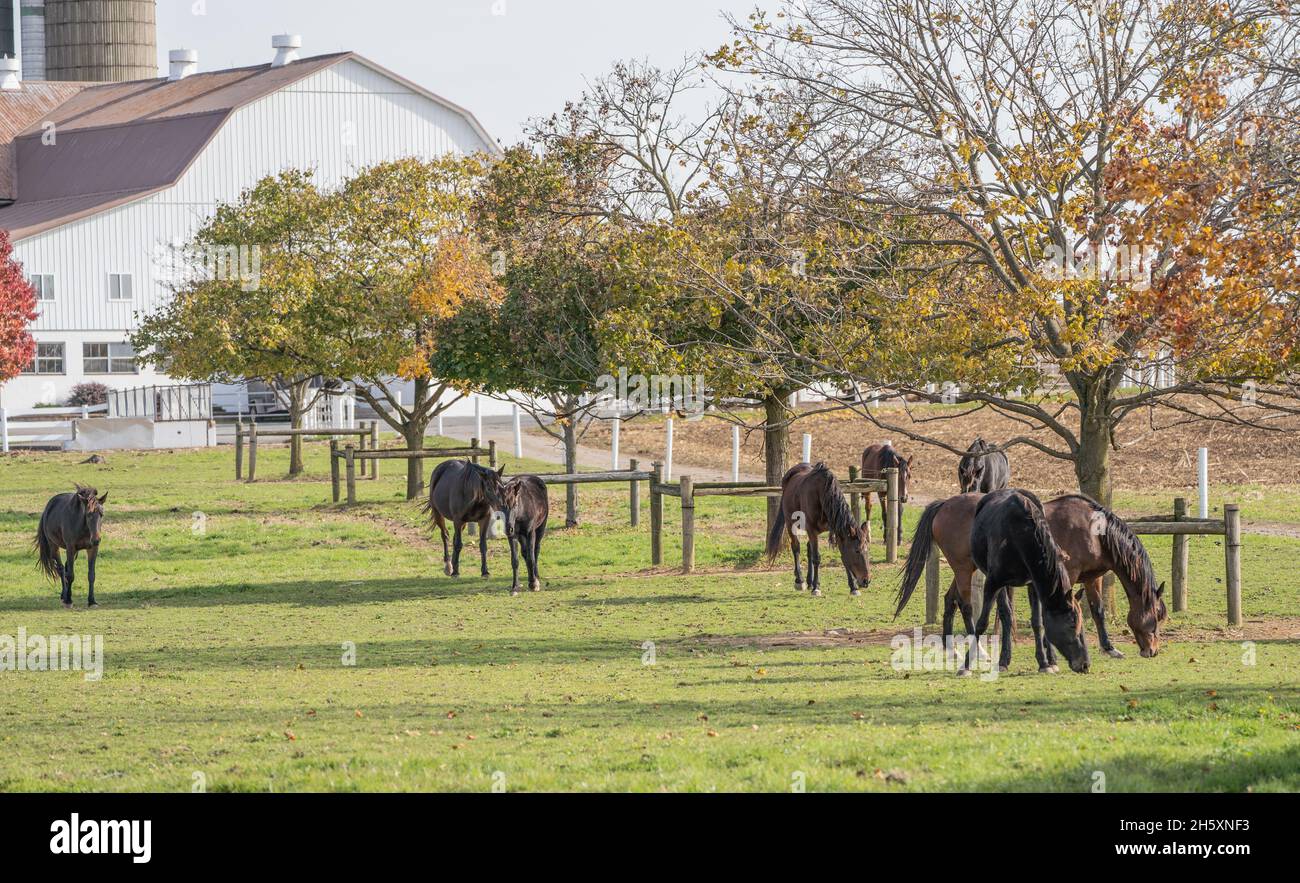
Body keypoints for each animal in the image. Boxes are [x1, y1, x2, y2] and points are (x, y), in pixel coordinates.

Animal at [765, 462, 871, 597]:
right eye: (857, 551)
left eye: (867, 550)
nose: (866, 581)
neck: (823, 495)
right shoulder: (812, 530)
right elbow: (816, 558)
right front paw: (817, 587)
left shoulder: (836, 530)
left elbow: (844, 557)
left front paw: (853, 587)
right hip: (790, 524)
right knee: (796, 547)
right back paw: (800, 580)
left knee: (808, 548)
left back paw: (809, 581)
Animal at [896, 492, 1166, 670]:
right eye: (1156, 616)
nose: (1152, 650)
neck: (1093, 529)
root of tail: (944, 504)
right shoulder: (1067, 575)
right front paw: (1051, 655)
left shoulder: (1091, 578)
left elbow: (1097, 611)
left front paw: (1110, 648)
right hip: (963, 568)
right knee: (965, 606)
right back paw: (979, 652)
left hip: (968, 569)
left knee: (950, 600)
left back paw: (952, 648)